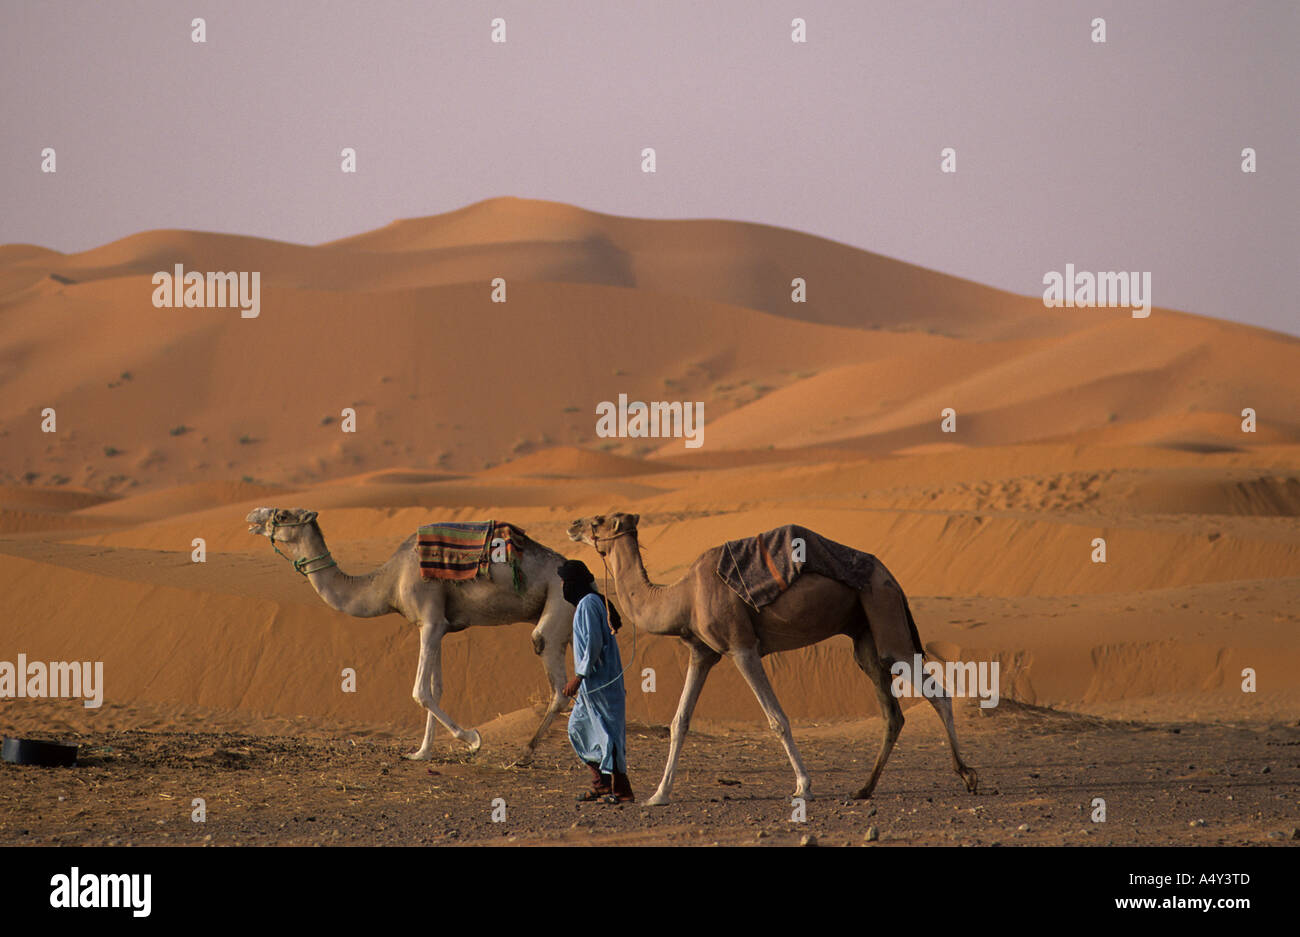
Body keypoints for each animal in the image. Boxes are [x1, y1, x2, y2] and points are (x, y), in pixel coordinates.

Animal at [247, 507, 573, 761]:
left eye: (282, 515)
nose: (251, 516)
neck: (388, 582)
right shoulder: (438, 625)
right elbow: (436, 689)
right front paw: (422, 753)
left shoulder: (429, 621)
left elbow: (420, 691)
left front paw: (472, 739)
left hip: (557, 602)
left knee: (556, 680)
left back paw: (526, 753)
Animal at [569, 512, 978, 806]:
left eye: (599, 520)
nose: (573, 525)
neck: (683, 596)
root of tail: (891, 575)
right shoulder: (702, 653)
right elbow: (679, 721)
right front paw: (658, 795)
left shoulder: (742, 647)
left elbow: (777, 719)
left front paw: (804, 786)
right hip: (864, 633)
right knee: (891, 709)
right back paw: (863, 789)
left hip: (883, 607)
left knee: (934, 690)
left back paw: (967, 774)